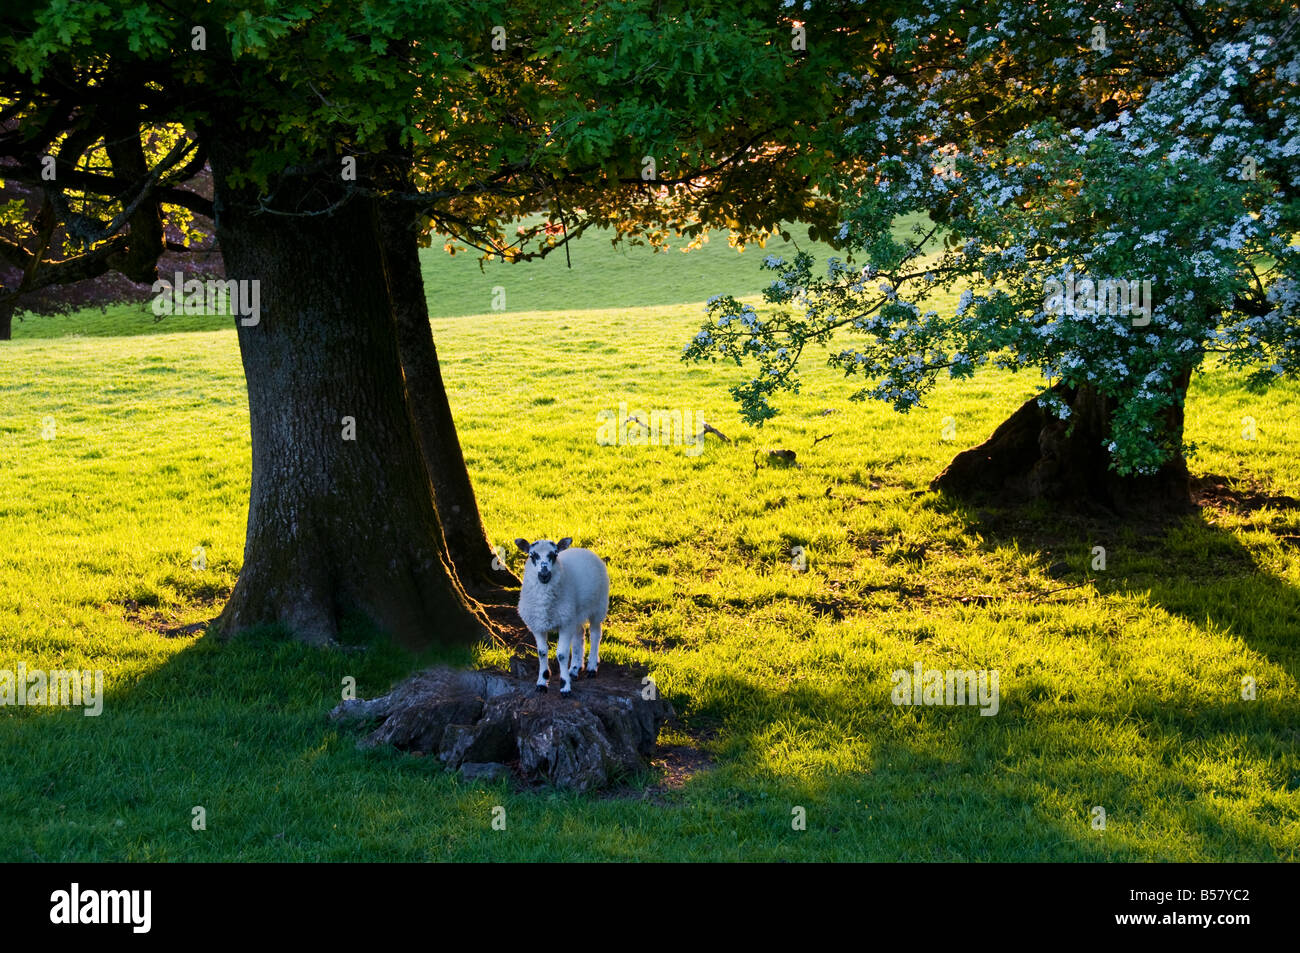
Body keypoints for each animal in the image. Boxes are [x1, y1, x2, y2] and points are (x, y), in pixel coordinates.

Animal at [514, 536, 609, 696]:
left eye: (554, 554)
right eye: (532, 555)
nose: (544, 575)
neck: (545, 604)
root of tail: (583, 549)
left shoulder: (565, 624)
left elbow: (562, 655)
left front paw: (565, 686)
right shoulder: (538, 625)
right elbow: (542, 652)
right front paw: (542, 682)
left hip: (598, 606)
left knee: (596, 634)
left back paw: (591, 667)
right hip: (574, 614)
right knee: (579, 635)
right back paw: (575, 669)